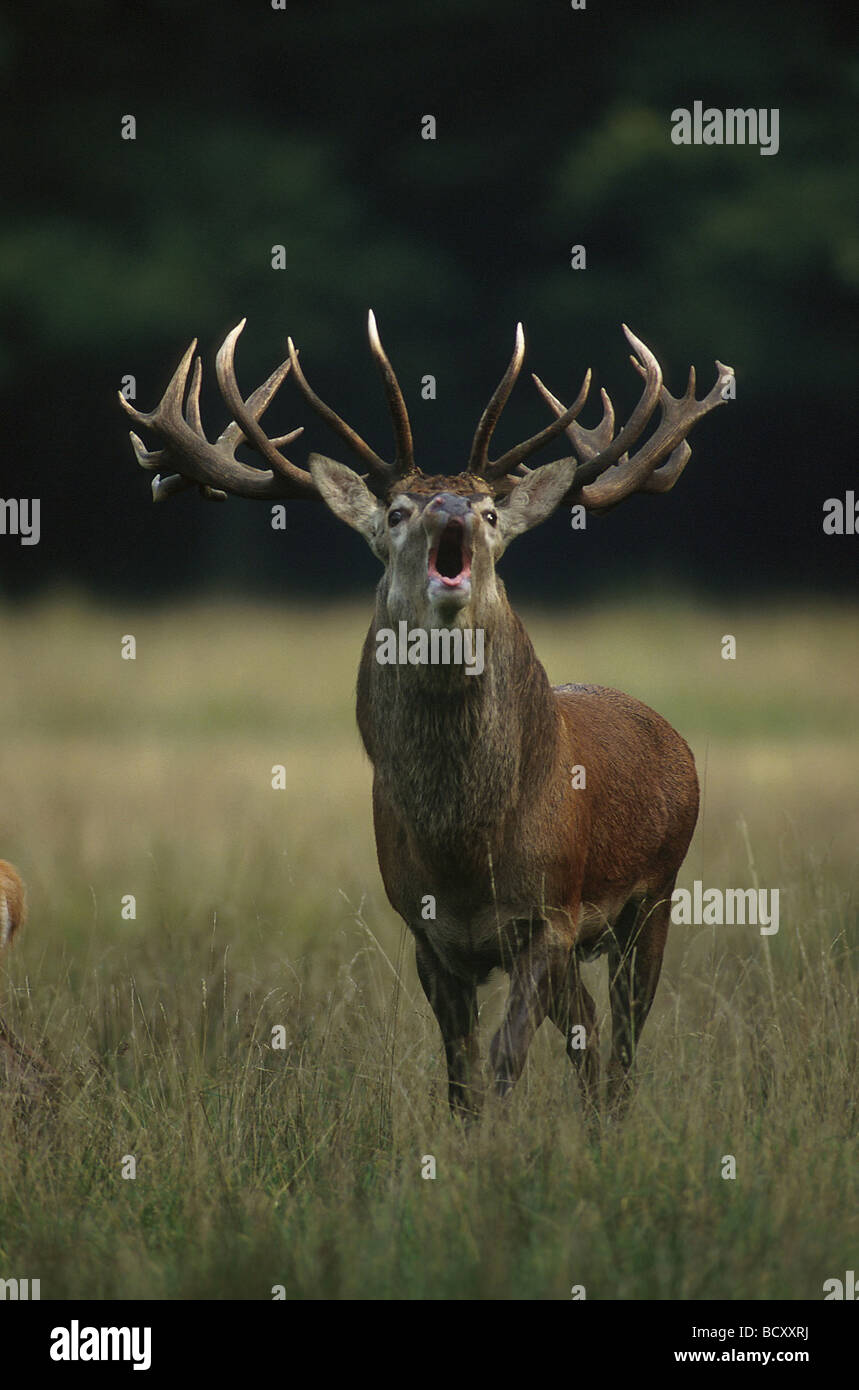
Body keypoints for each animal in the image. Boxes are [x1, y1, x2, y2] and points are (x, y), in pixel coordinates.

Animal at [120, 316, 733, 1122]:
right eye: (397, 511)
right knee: (590, 1032)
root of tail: (673, 739)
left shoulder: (550, 913)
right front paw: (470, 1141)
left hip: (658, 889)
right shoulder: (424, 930)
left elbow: (505, 1057)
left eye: (491, 512)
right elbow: (460, 1076)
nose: (452, 512)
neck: (462, 853)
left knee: (624, 1038)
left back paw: (616, 1124)